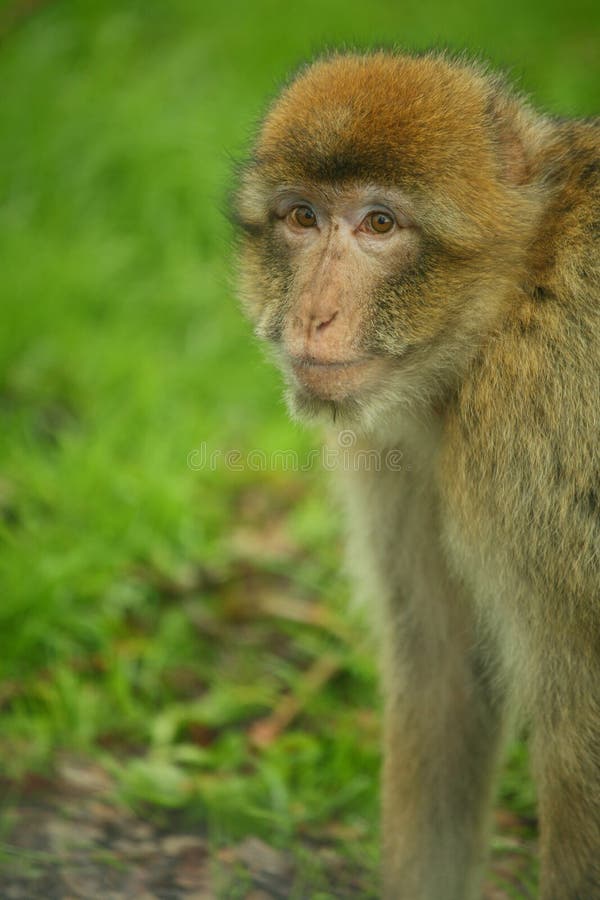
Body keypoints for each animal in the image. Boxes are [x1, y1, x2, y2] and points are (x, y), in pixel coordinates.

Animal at [231, 50, 600, 900]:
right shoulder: (407, 450)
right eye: (303, 219)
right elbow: (445, 670)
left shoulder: (535, 429)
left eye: (380, 225)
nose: (314, 316)